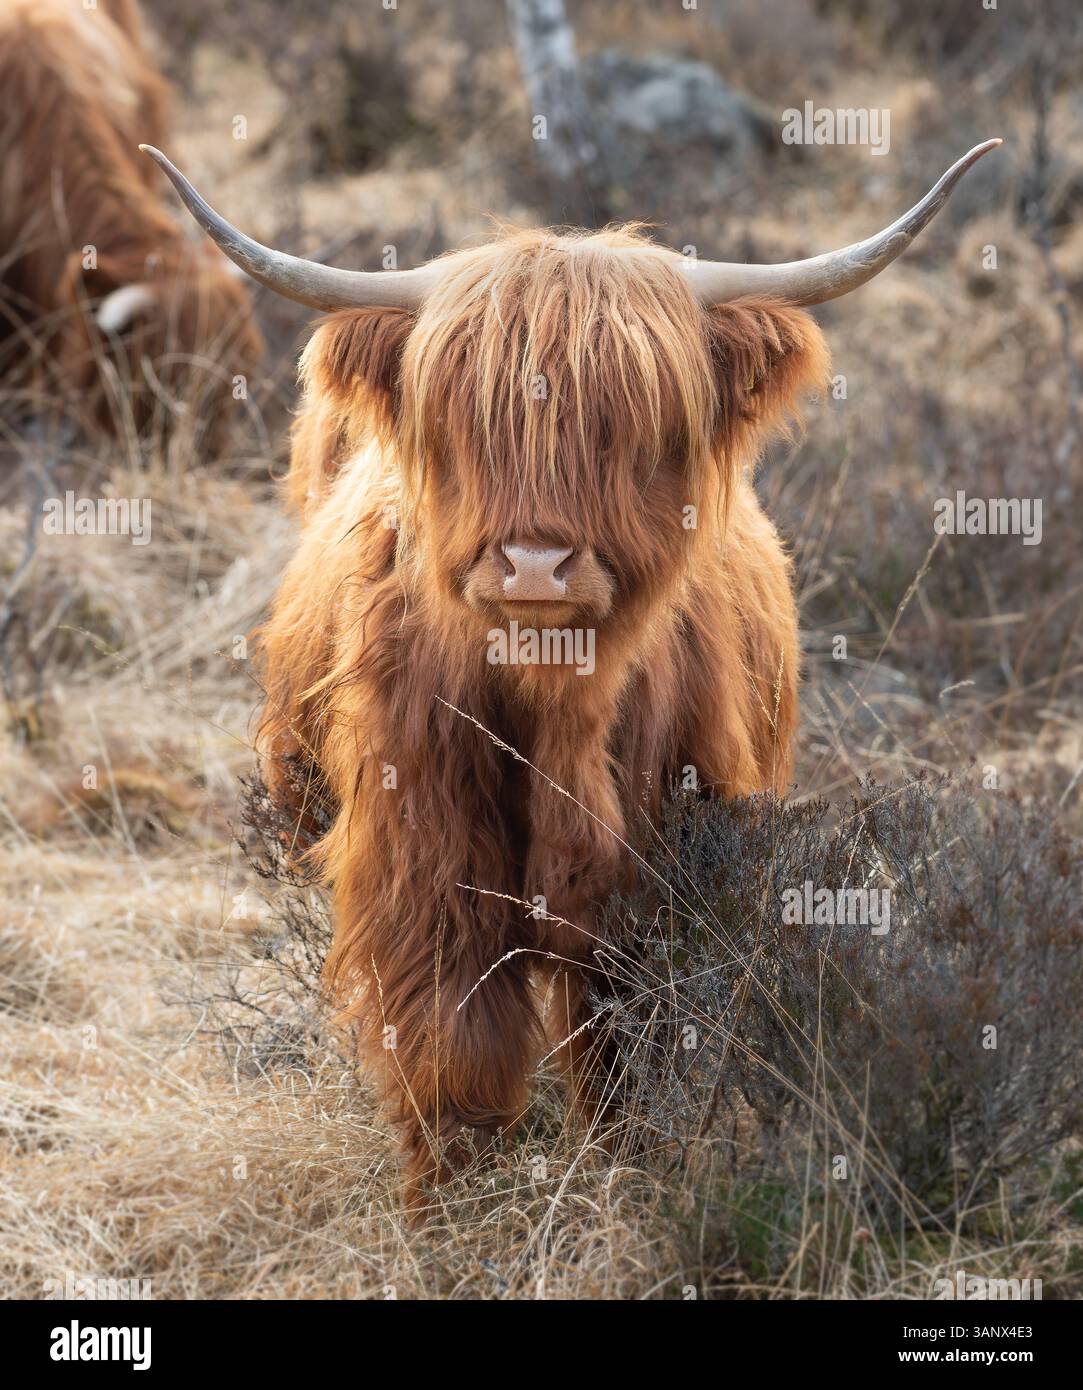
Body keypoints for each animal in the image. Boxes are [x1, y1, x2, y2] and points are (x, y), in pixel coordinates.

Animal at [143, 138, 1000, 1206]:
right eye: (468, 422)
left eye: (630, 425)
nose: (534, 567)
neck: (556, 708)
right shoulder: (423, 863)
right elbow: (453, 1050)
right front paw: (450, 1213)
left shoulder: (661, 880)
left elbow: (623, 1056)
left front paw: (621, 1179)